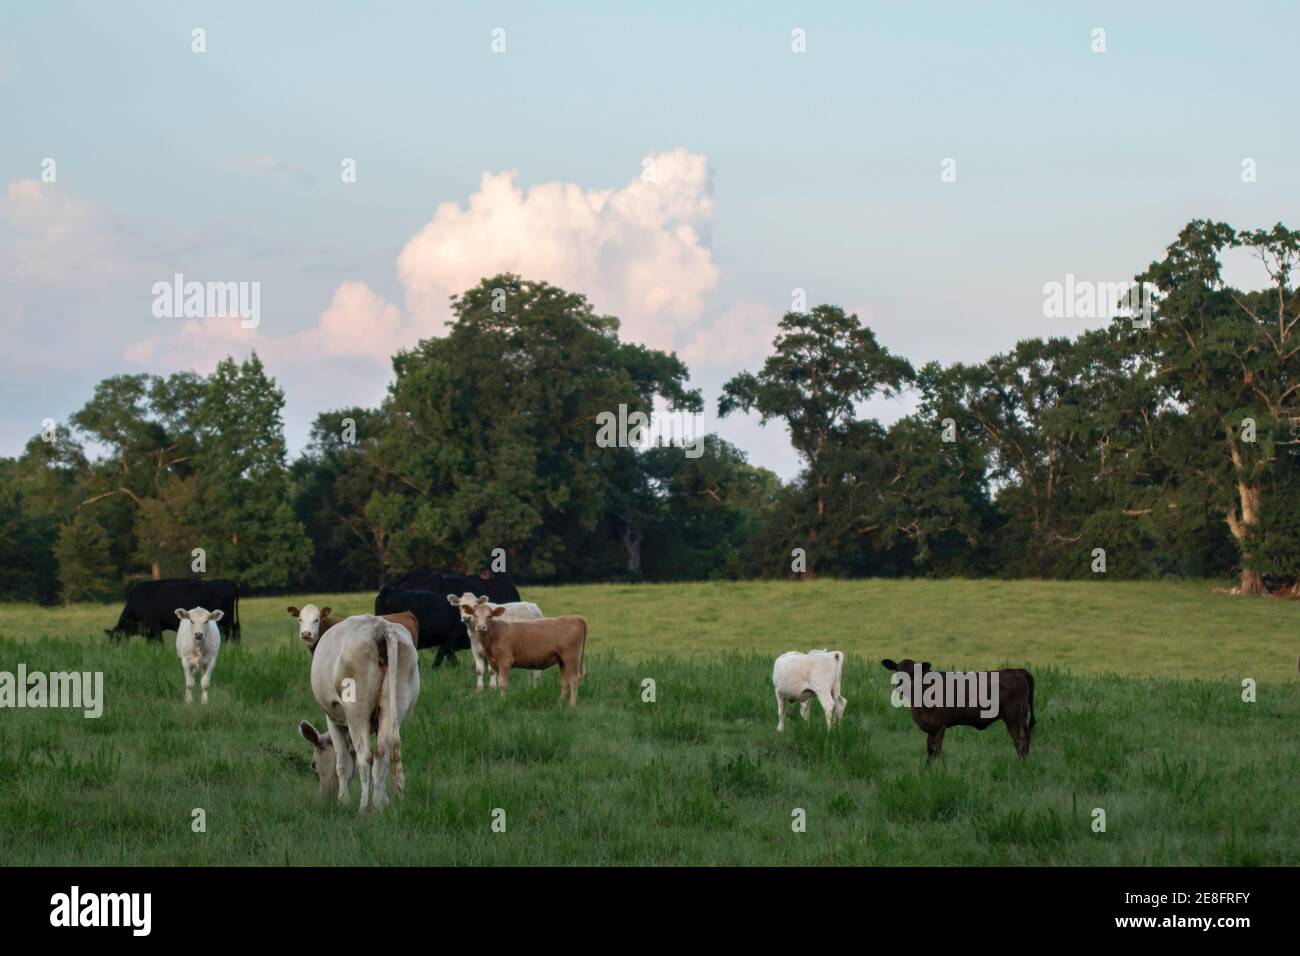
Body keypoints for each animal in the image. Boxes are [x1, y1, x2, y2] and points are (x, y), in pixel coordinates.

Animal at [297, 614, 420, 814]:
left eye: (314, 765)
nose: (326, 797)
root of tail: (381, 626)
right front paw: (384, 800)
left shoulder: (333, 720)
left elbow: (342, 763)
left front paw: (343, 800)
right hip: (395, 705)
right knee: (382, 755)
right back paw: (377, 805)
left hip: (356, 711)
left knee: (365, 758)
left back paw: (363, 808)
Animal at [454, 601, 586, 705]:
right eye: (475, 615)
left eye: (490, 616)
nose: (481, 627)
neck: (495, 635)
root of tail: (575, 618)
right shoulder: (495, 664)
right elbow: (498, 682)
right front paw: (500, 700)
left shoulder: (505, 662)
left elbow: (503, 684)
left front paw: (503, 702)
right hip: (562, 660)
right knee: (565, 682)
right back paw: (560, 702)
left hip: (570, 658)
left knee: (574, 679)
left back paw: (571, 705)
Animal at [880, 658, 1036, 761]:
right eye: (897, 670)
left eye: (913, 672)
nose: (900, 684)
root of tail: (1017, 670)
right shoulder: (930, 728)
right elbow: (929, 749)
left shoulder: (939, 726)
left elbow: (936, 749)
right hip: (1021, 716)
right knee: (1027, 735)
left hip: (1013, 717)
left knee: (1020, 739)